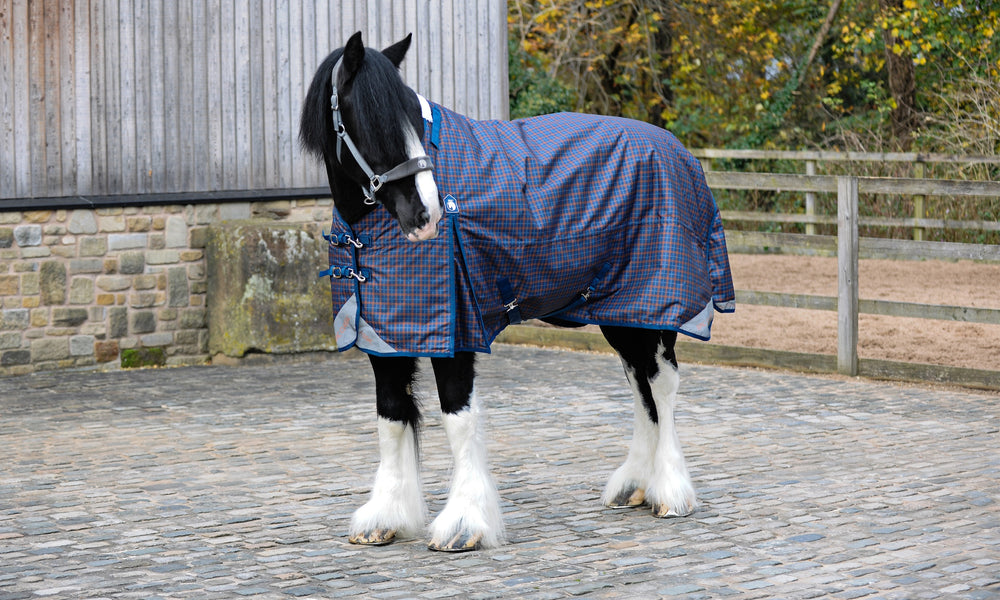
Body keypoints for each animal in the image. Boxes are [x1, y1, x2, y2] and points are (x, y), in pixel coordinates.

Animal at [299, 32, 735, 552]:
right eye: (370, 122)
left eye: (410, 117)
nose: (427, 215)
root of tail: (678, 150)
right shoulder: (385, 337)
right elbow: (390, 417)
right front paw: (384, 516)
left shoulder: (456, 332)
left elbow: (458, 416)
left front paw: (464, 524)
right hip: (621, 313)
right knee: (639, 385)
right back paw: (634, 485)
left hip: (653, 306)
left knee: (662, 385)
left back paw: (669, 492)